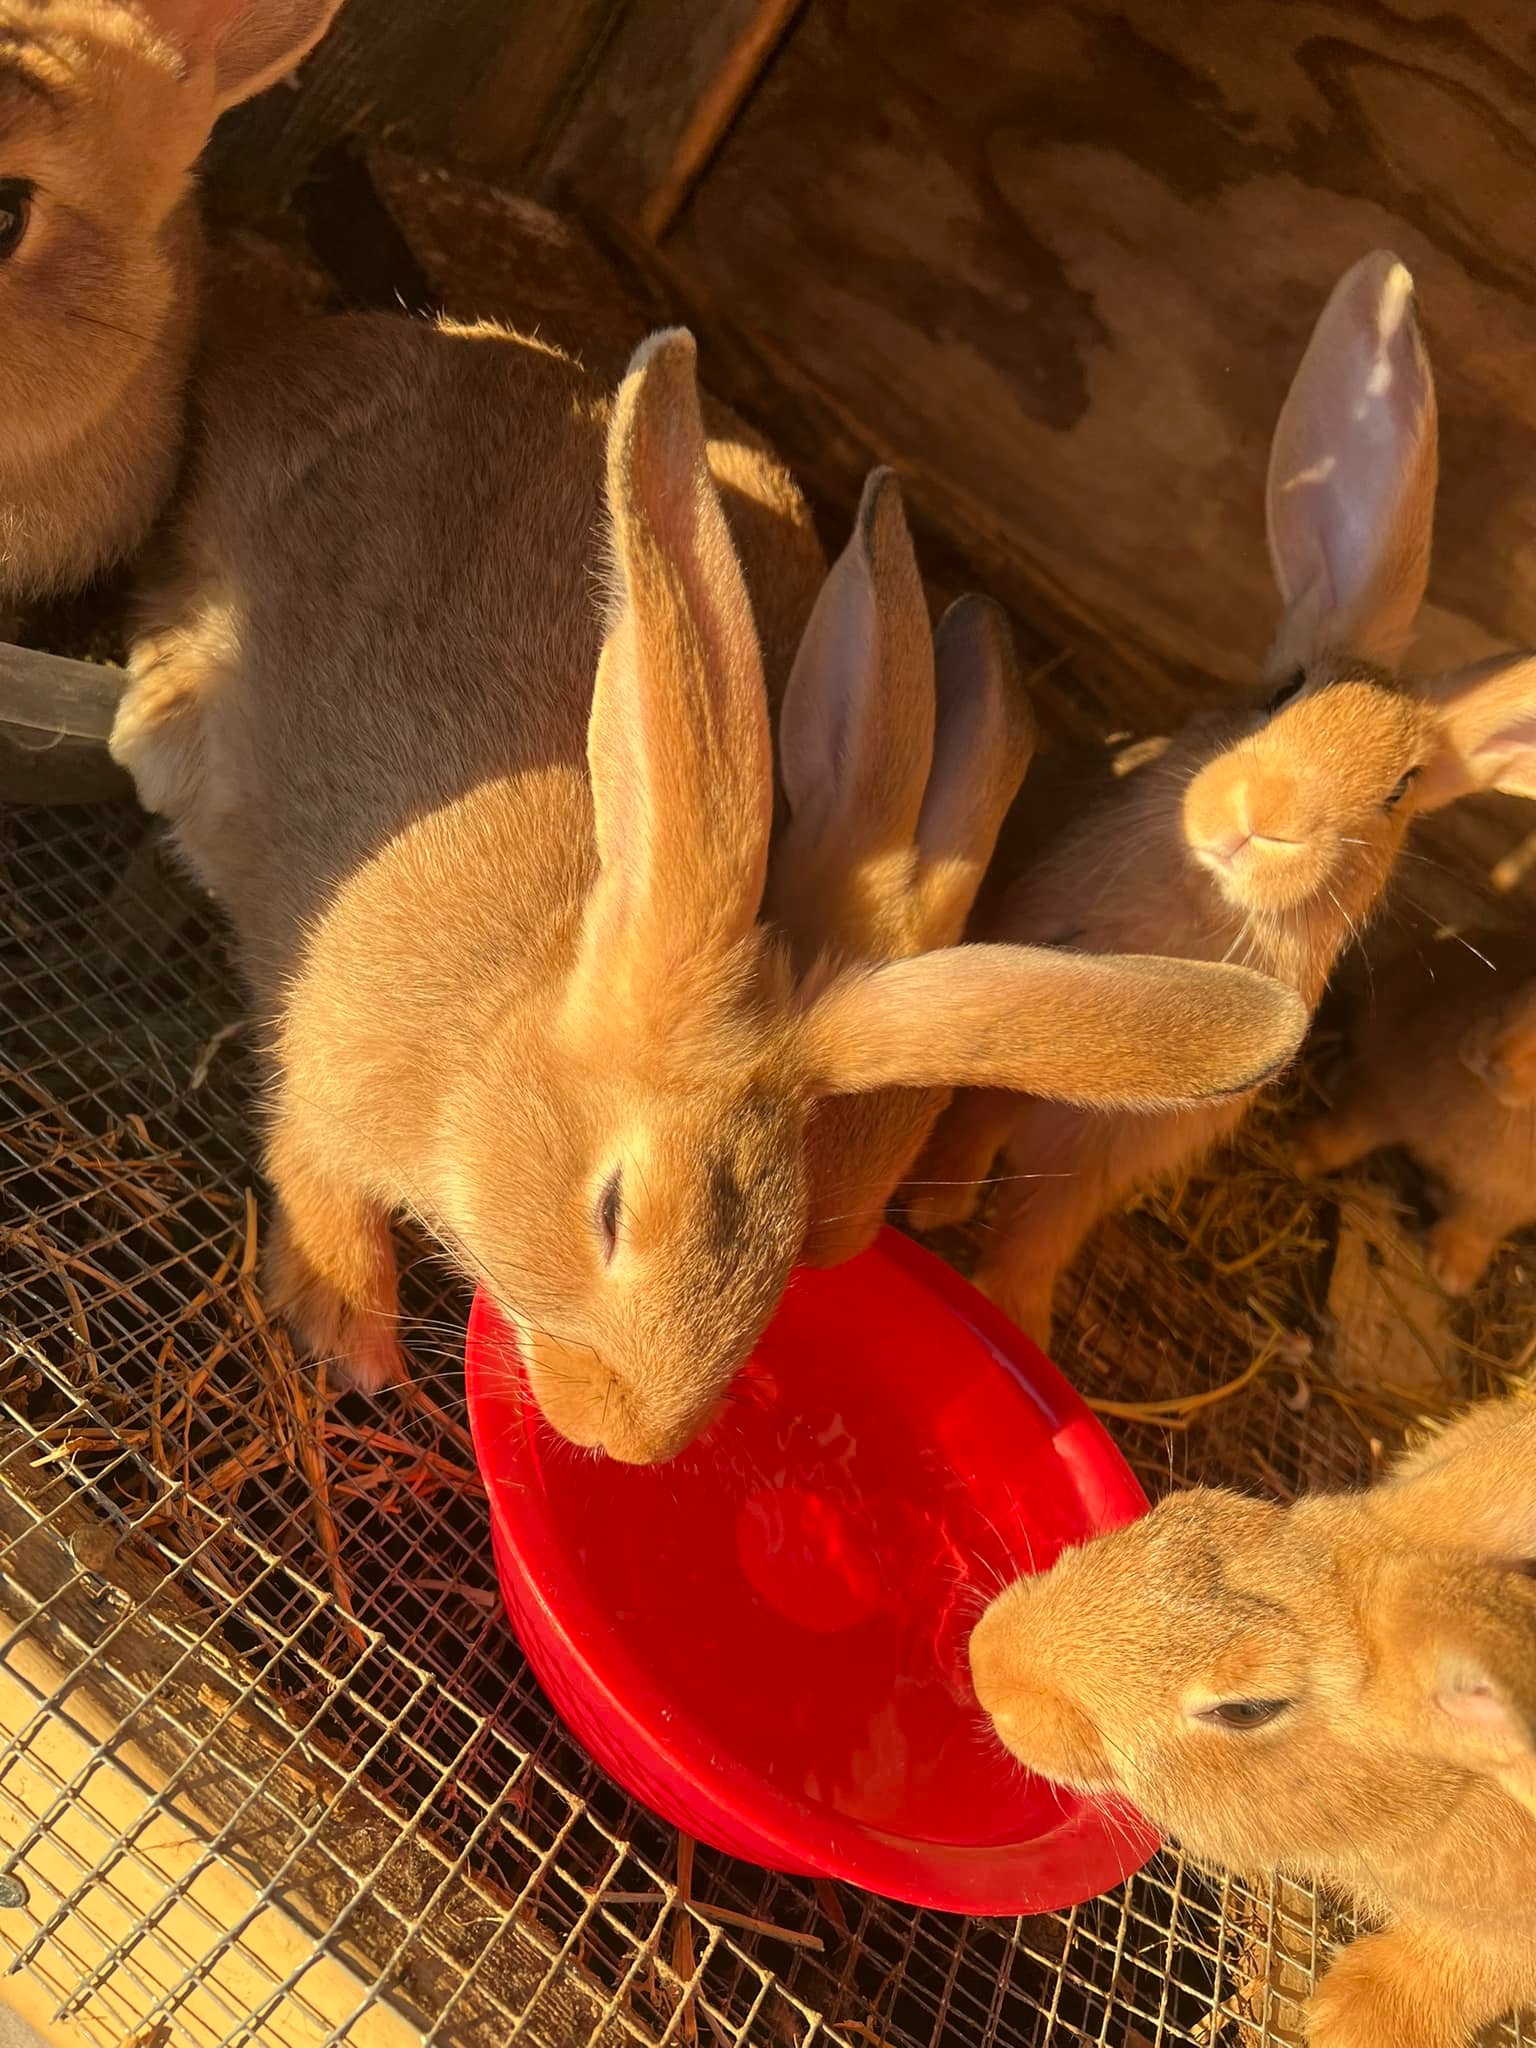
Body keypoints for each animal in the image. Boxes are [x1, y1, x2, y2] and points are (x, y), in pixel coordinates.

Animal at [1293, 930, 1536, 1296]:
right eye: (1528, 984)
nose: (1493, 1055)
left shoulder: (1508, 1198)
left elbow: (1481, 1225)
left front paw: (1453, 1272)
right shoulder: (1390, 1094)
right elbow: (1347, 1132)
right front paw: (1301, 1154)